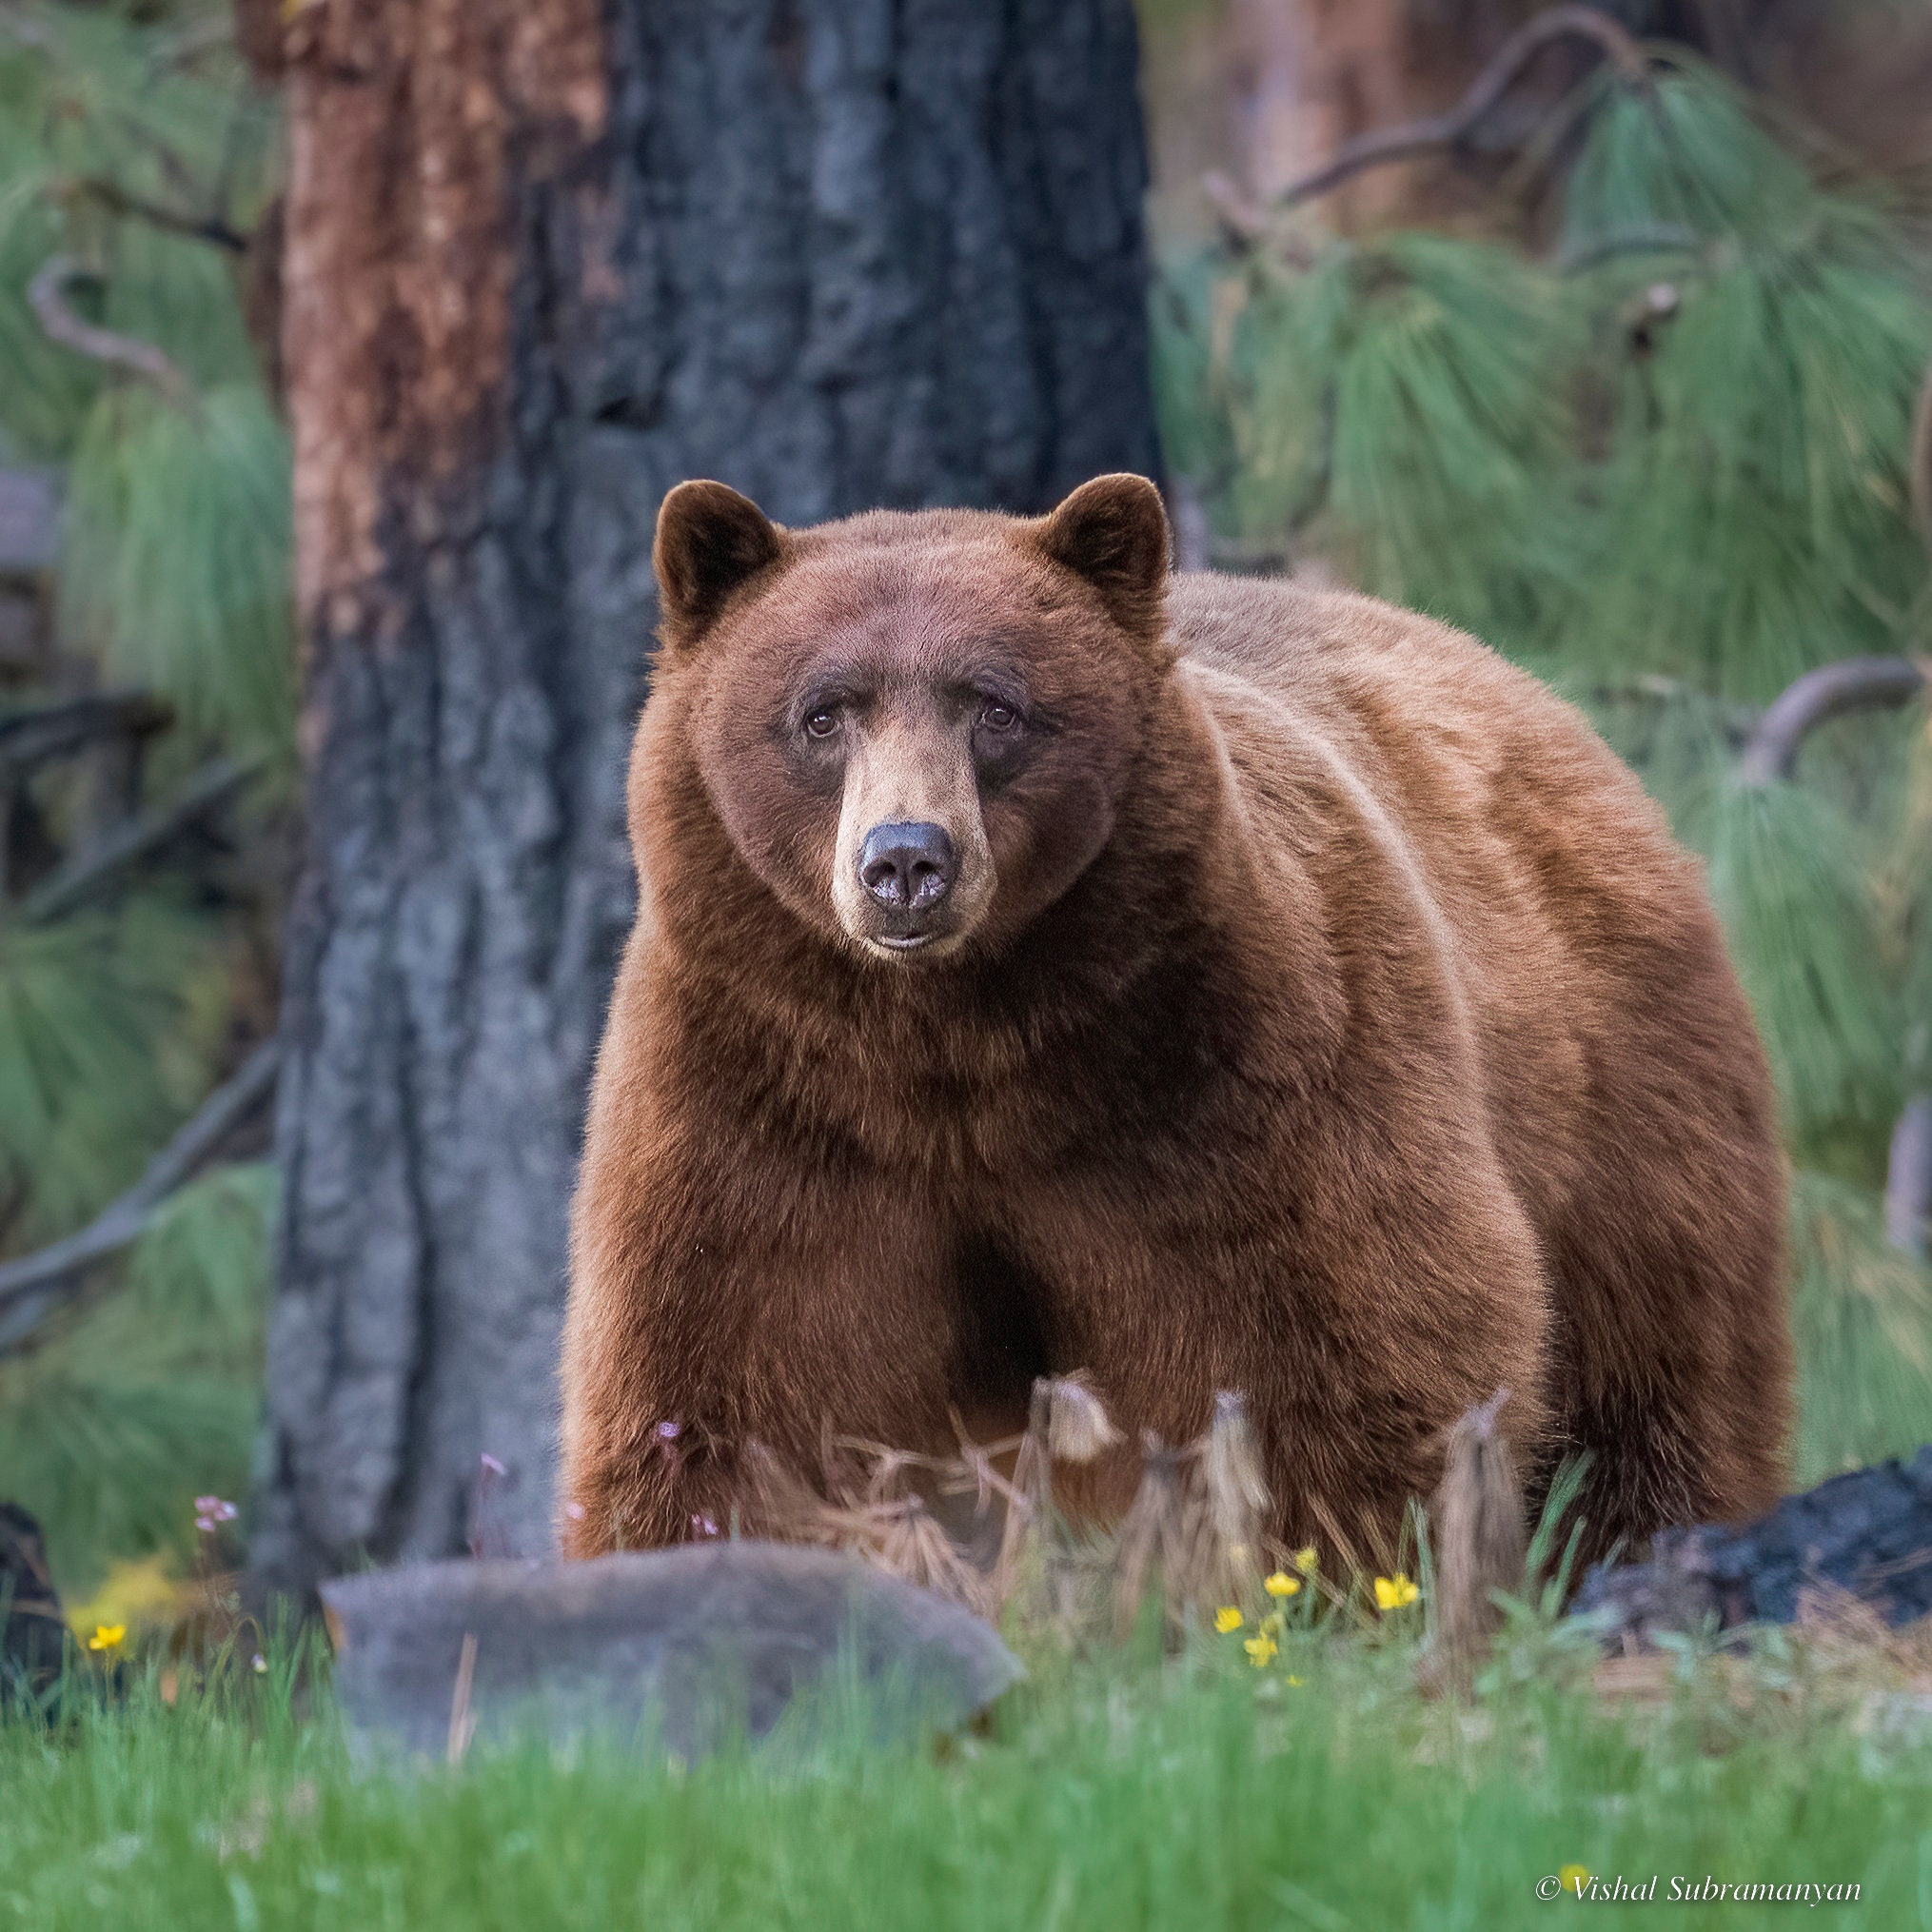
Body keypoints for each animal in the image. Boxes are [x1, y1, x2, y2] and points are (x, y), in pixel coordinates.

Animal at [558, 472, 1792, 1570]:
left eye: (995, 705)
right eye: (821, 713)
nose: (905, 859)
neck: (956, 1053)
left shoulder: (1225, 1066)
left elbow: (1337, 1348)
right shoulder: (767, 1099)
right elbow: (734, 1386)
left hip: (1624, 1099)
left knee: (1657, 1380)